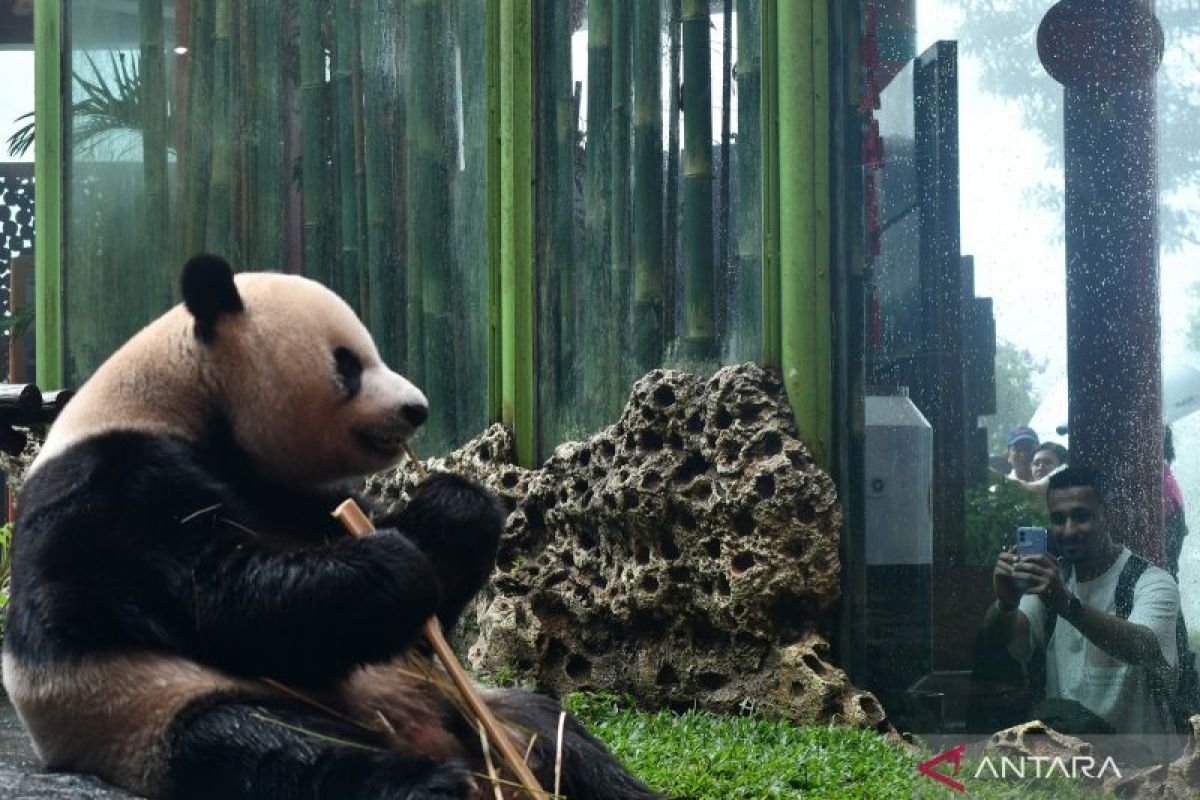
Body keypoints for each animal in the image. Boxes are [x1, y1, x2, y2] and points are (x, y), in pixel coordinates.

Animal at [2, 255, 661, 800]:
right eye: (347, 364)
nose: (416, 408)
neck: (177, 395)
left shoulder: (287, 489)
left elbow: (413, 618)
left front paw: (457, 507)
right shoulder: (112, 495)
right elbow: (231, 601)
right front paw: (393, 565)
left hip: (470, 704)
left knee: (555, 731)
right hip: (147, 713)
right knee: (276, 749)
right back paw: (430, 785)